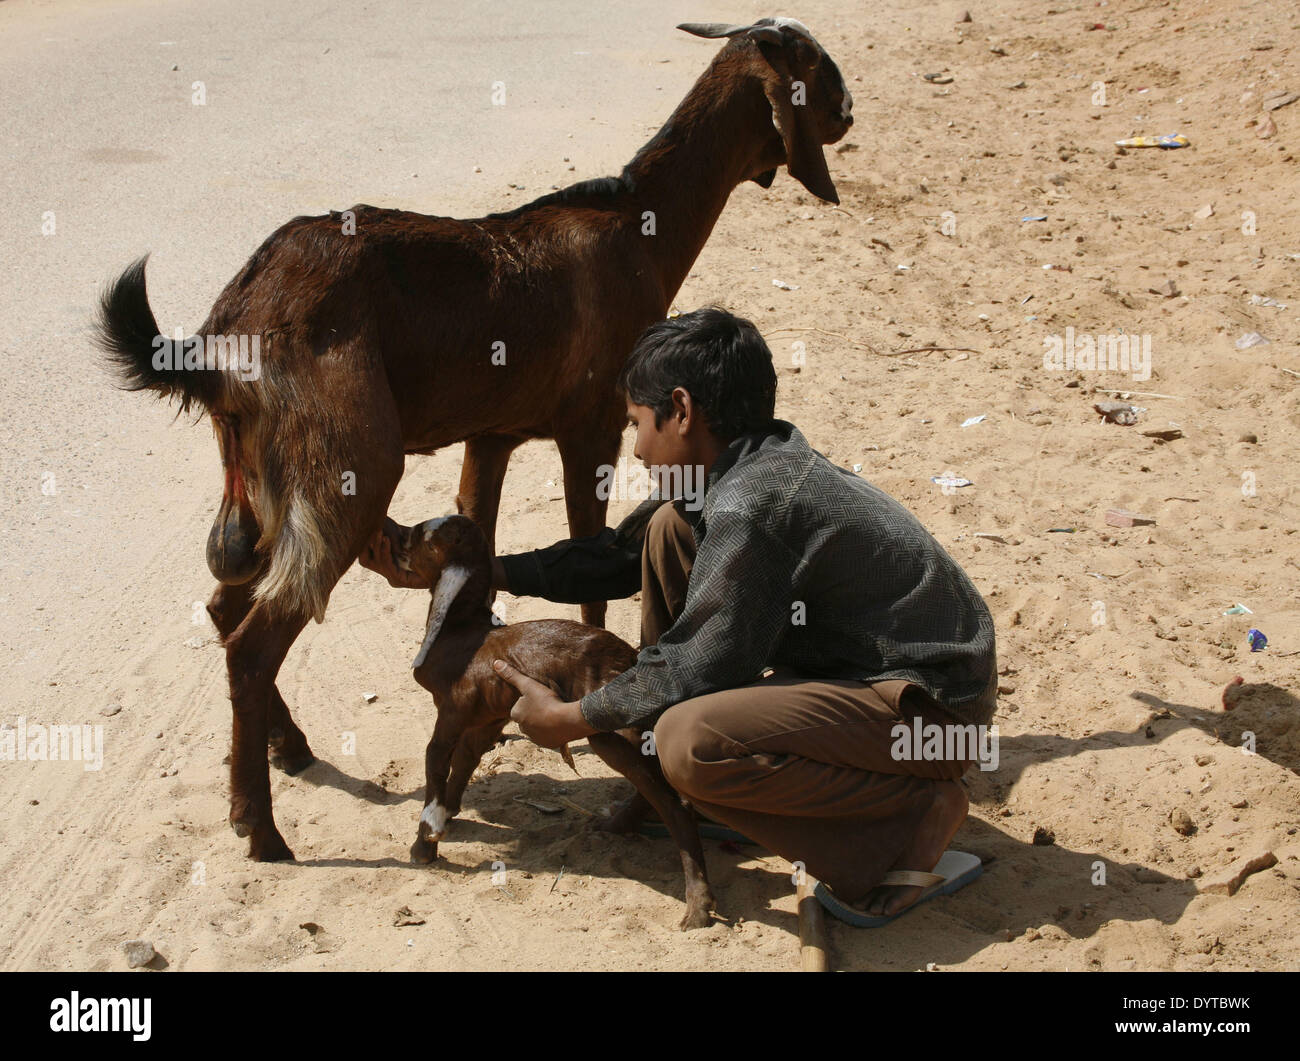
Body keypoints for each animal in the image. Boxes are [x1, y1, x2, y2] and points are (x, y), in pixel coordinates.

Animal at [94, 18, 853, 862]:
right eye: (819, 70)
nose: (848, 114)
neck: (637, 225)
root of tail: (231, 324)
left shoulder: (492, 435)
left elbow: (480, 535)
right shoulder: (591, 426)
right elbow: (590, 569)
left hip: (255, 481)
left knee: (227, 603)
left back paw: (287, 750)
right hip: (348, 467)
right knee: (255, 638)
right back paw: (259, 827)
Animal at [385, 514, 716, 930]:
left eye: (424, 539)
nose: (396, 538)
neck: (460, 631)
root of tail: (632, 660)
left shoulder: (453, 709)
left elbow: (435, 764)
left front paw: (424, 844)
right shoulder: (489, 716)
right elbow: (463, 761)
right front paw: (451, 811)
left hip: (612, 732)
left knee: (675, 805)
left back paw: (697, 908)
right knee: (657, 788)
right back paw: (612, 826)